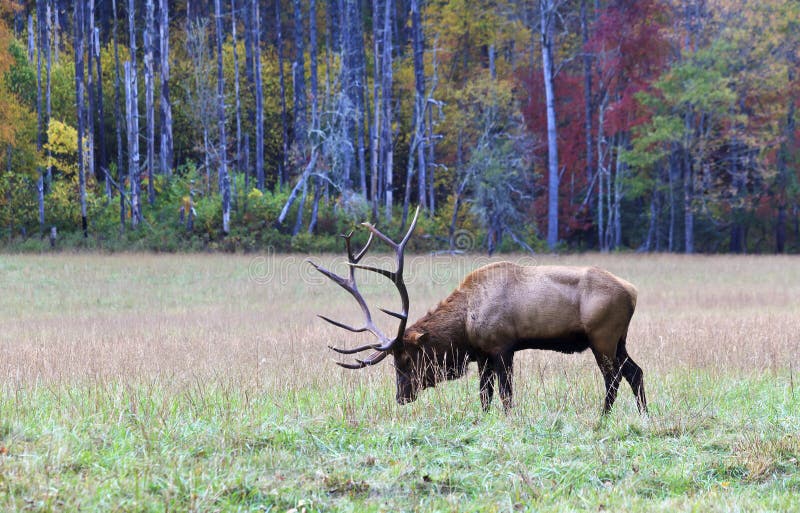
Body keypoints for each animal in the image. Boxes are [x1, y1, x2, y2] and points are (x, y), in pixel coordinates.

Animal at [308, 208, 647, 415]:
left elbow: (506, 396)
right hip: (618, 340)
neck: (465, 325)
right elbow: (484, 397)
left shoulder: (503, 347)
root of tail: (632, 291)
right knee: (635, 372)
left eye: (406, 358)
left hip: (602, 337)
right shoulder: (483, 354)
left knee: (613, 378)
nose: (401, 397)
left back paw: (603, 418)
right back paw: (644, 415)